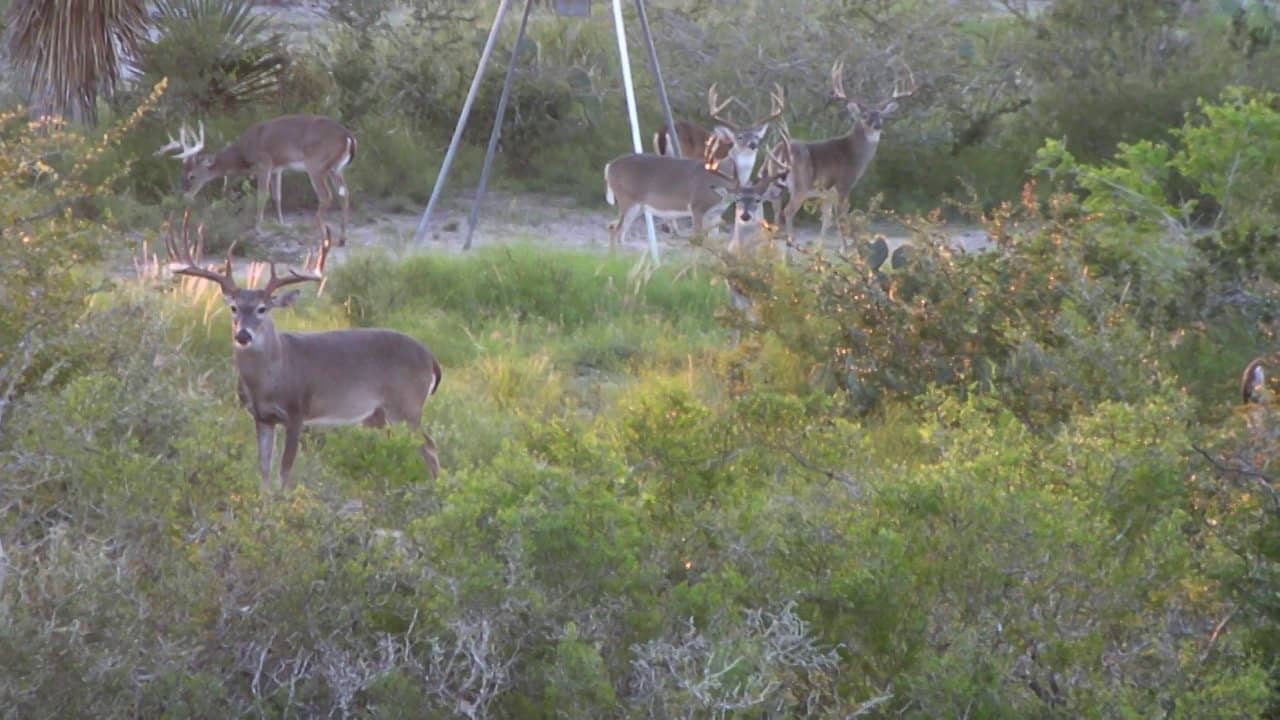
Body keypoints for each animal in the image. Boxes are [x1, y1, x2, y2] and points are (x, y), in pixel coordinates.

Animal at [156, 115, 357, 244]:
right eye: (181, 173)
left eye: (192, 176)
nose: (185, 195)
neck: (243, 153)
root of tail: (348, 136)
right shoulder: (277, 168)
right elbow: (277, 196)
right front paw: (282, 224)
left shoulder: (264, 163)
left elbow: (262, 195)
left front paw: (258, 229)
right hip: (336, 168)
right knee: (345, 193)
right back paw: (343, 237)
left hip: (316, 164)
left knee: (326, 196)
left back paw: (323, 233)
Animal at [163, 213, 442, 491]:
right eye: (234, 308)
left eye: (263, 308)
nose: (243, 335)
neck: (270, 378)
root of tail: (431, 358)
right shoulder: (261, 417)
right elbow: (264, 469)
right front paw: (264, 500)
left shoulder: (296, 413)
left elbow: (285, 471)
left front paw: (284, 500)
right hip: (382, 416)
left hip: (406, 405)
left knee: (429, 445)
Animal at [604, 134, 789, 253]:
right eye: (740, 137)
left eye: (758, 200)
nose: (753, 145)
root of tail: (609, 166)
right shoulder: (697, 207)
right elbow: (698, 241)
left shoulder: (715, 213)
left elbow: (714, 243)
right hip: (628, 200)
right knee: (617, 230)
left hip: (639, 207)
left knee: (615, 228)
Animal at [779, 58, 916, 244]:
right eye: (865, 115)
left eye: (881, 116)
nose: (877, 125)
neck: (853, 153)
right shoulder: (844, 184)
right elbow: (841, 219)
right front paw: (844, 247)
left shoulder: (826, 194)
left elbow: (826, 220)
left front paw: (820, 247)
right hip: (801, 185)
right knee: (787, 211)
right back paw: (789, 244)